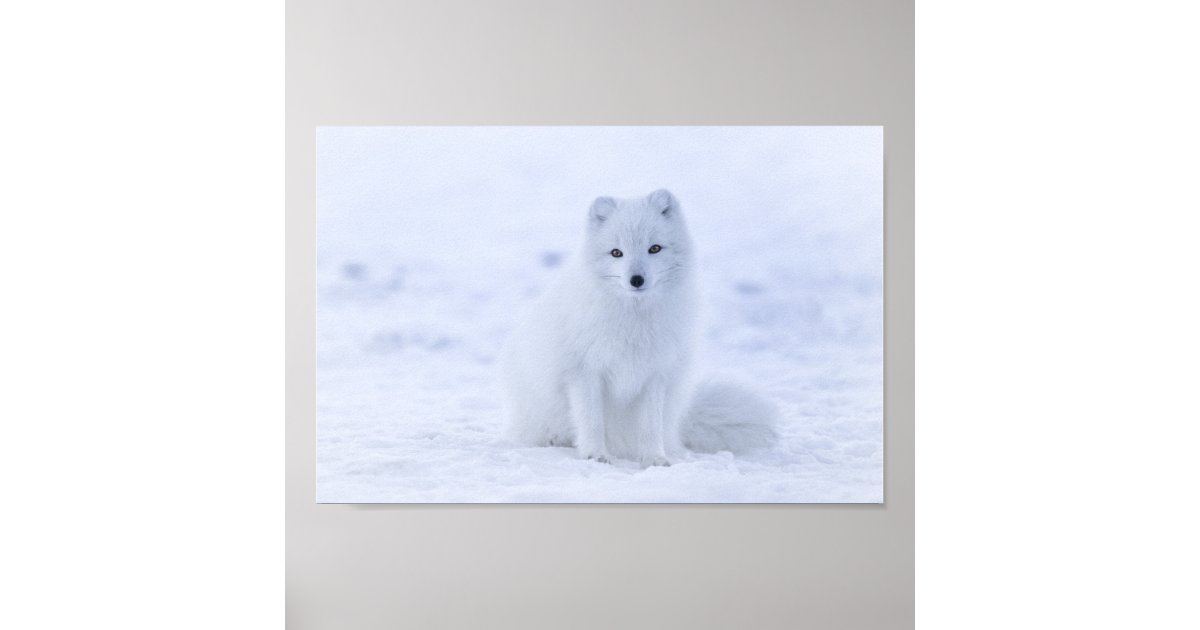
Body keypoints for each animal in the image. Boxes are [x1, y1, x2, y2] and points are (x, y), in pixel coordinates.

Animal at [500, 189, 779, 467]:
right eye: (616, 253)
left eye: (654, 248)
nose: (636, 280)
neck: (634, 322)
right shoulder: (584, 372)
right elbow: (591, 421)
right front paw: (595, 455)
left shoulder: (655, 374)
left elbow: (650, 426)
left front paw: (655, 459)